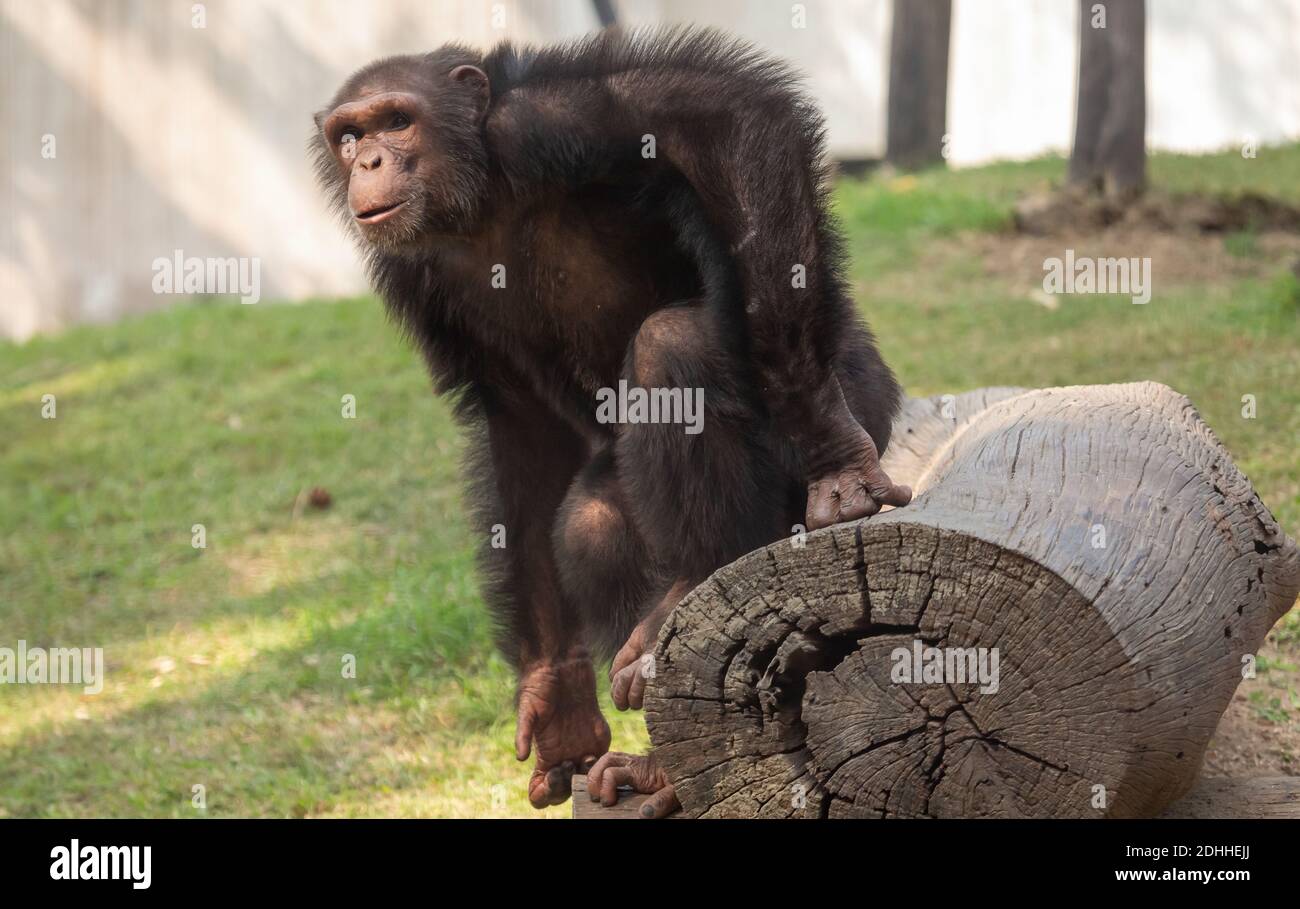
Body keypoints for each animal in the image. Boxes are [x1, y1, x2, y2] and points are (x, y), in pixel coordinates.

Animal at [313, 27, 911, 817]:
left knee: (674, 344)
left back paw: (688, 593)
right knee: (589, 524)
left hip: (851, 396)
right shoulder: (417, 281)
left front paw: (833, 456)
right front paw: (556, 696)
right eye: (350, 135)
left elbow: (724, 121)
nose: (369, 161)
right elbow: (522, 426)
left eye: (397, 121)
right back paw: (659, 743)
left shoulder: (544, 123)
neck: (476, 203)